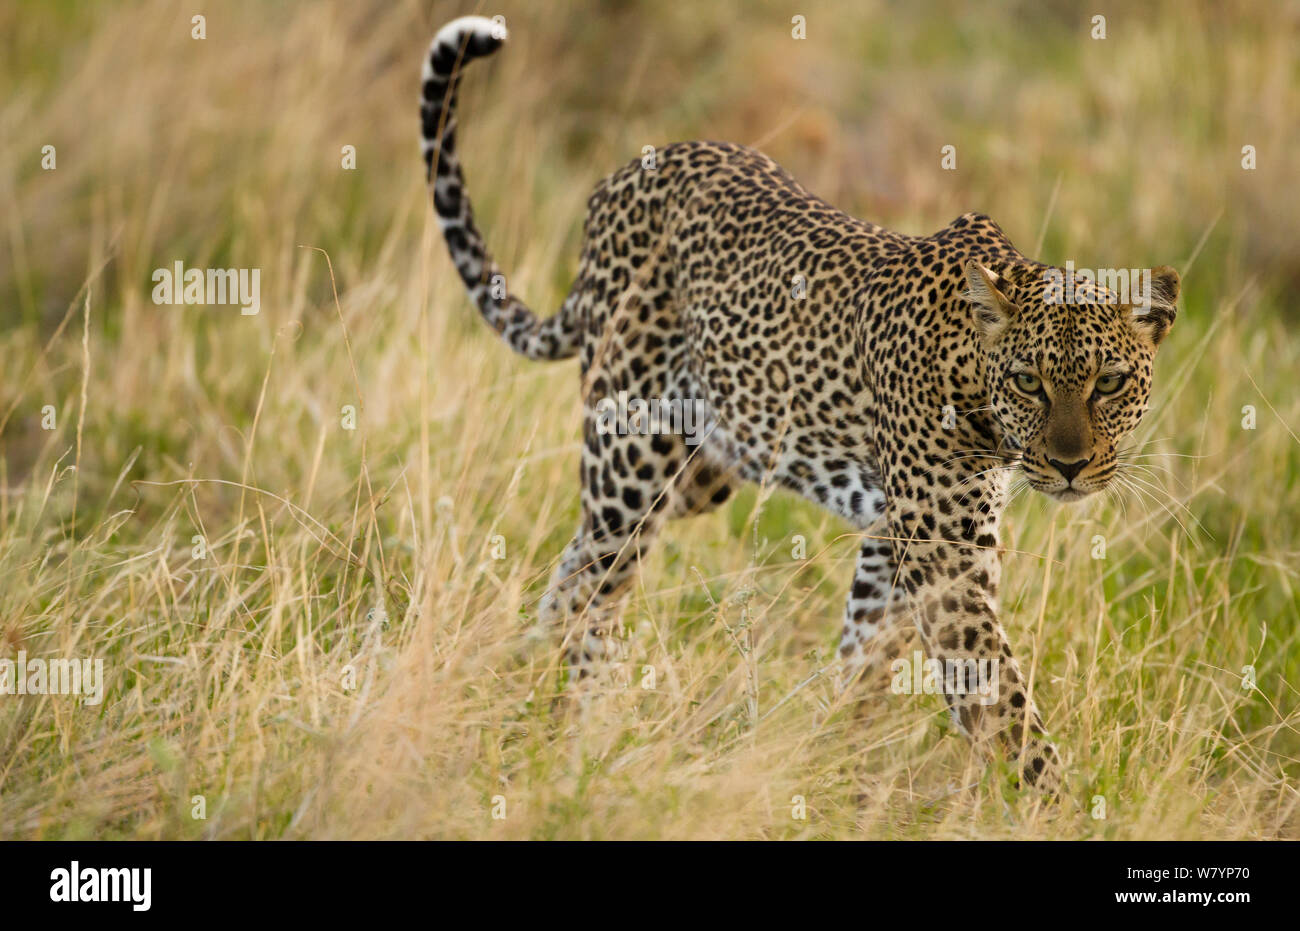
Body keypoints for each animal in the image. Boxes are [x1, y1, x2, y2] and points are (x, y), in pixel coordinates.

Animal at [419, 16, 1181, 794]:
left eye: (1110, 382)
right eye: (1030, 381)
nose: (1070, 466)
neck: (974, 370)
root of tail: (623, 175)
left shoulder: (898, 537)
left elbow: (869, 659)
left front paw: (830, 759)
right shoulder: (943, 555)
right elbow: (1002, 698)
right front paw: (1055, 799)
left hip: (698, 475)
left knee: (574, 570)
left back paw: (525, 690)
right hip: (631, 454)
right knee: (595, 583)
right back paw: (569, 732)